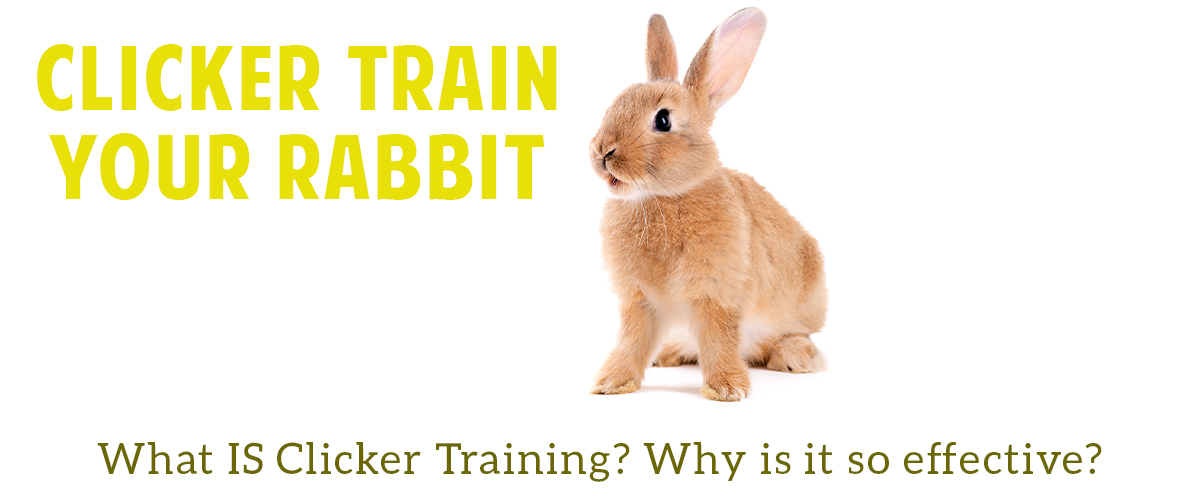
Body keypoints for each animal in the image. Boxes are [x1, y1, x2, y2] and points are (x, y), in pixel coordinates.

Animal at [589, 7, 828, 401]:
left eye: (664, 120)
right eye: (616, 102)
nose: (602, 152)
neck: (663, 197)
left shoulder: (716, 292)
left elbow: (719, 339)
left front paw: (727, 389)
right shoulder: (640, 301)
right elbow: (631, 341)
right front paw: (611, 383)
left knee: (795, 335)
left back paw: (795, 358)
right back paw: (669, 355)